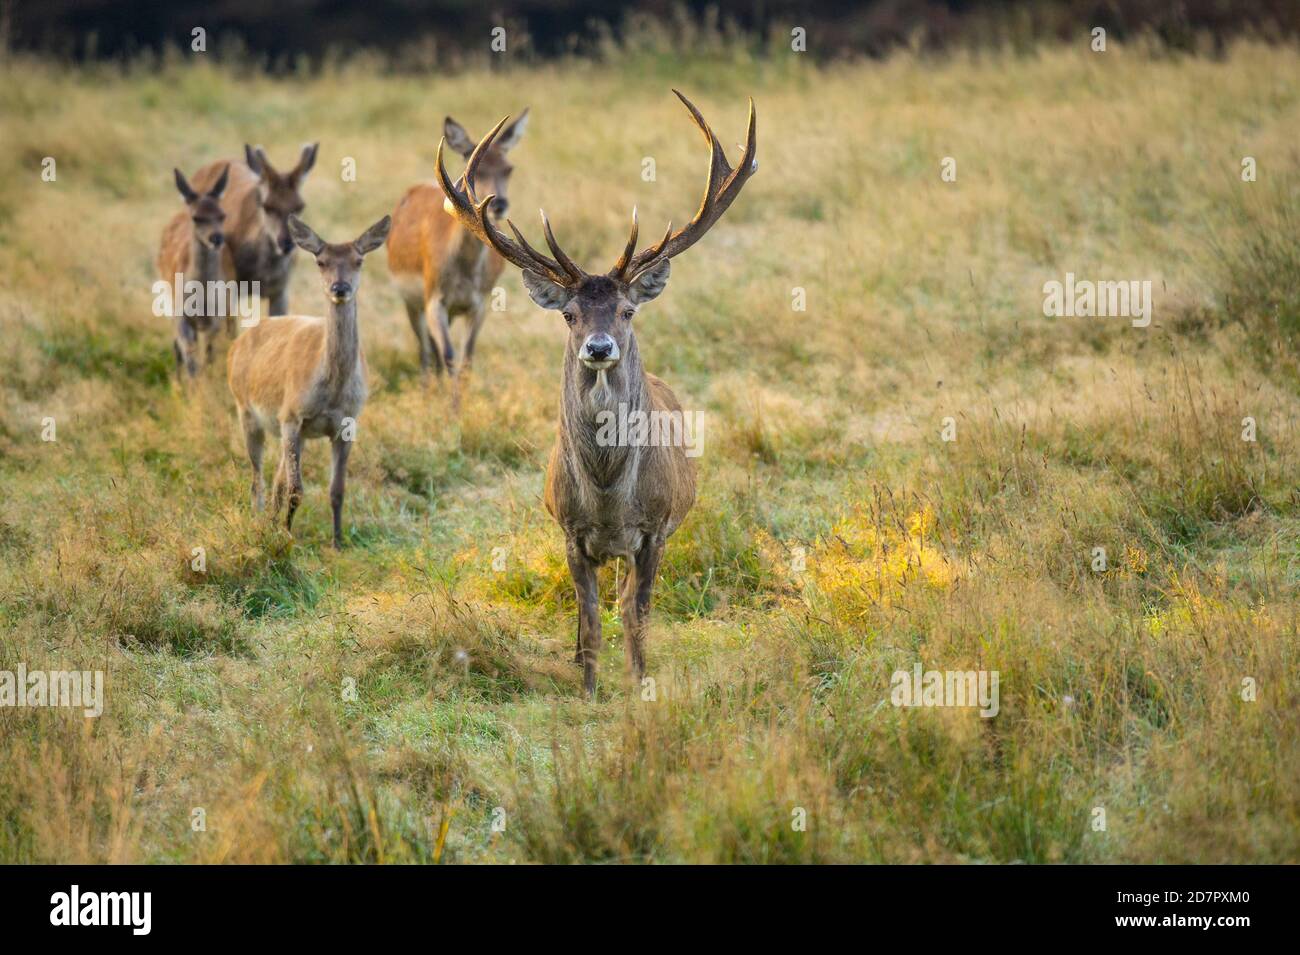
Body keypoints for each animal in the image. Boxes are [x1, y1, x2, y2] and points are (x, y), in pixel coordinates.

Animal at [157, 165, 230, 379]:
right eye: (197, 217)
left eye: (222, 215)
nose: (217, 238)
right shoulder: (180, 315)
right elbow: (190, 358)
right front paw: (192, 386)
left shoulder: (216, 317)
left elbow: (208, 356)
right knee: (178, 347)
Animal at [226, 213, 392, 549]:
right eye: (321, 261)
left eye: (358, 260)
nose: (340, 288)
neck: (332, 392)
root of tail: (234, 346)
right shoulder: (291, 415)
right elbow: (296, 489)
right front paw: (287, 537)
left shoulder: (347, 423)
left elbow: (336, 489)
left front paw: (338, 542)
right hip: (246, 410)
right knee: (258, 480)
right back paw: (260, 524)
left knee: (276, 482)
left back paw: (271, 523)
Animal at [387, 111, 529, 383]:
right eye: (477, 171)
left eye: (508, 169)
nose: (499, 205)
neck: (465, 274)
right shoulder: (434, 299)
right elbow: (450, 356)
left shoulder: (480, 303)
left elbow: (466, 359)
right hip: (411, 300)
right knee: (424, 353)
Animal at [437, 91, 757, 697]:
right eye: (569, 314)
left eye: (627, 310)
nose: (600, 346)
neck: (608, 499)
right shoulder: (569, 531)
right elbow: (586, 620)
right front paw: (586, 691)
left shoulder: (654, 530)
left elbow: (638, 613)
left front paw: (639, 684)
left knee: (628, 600)